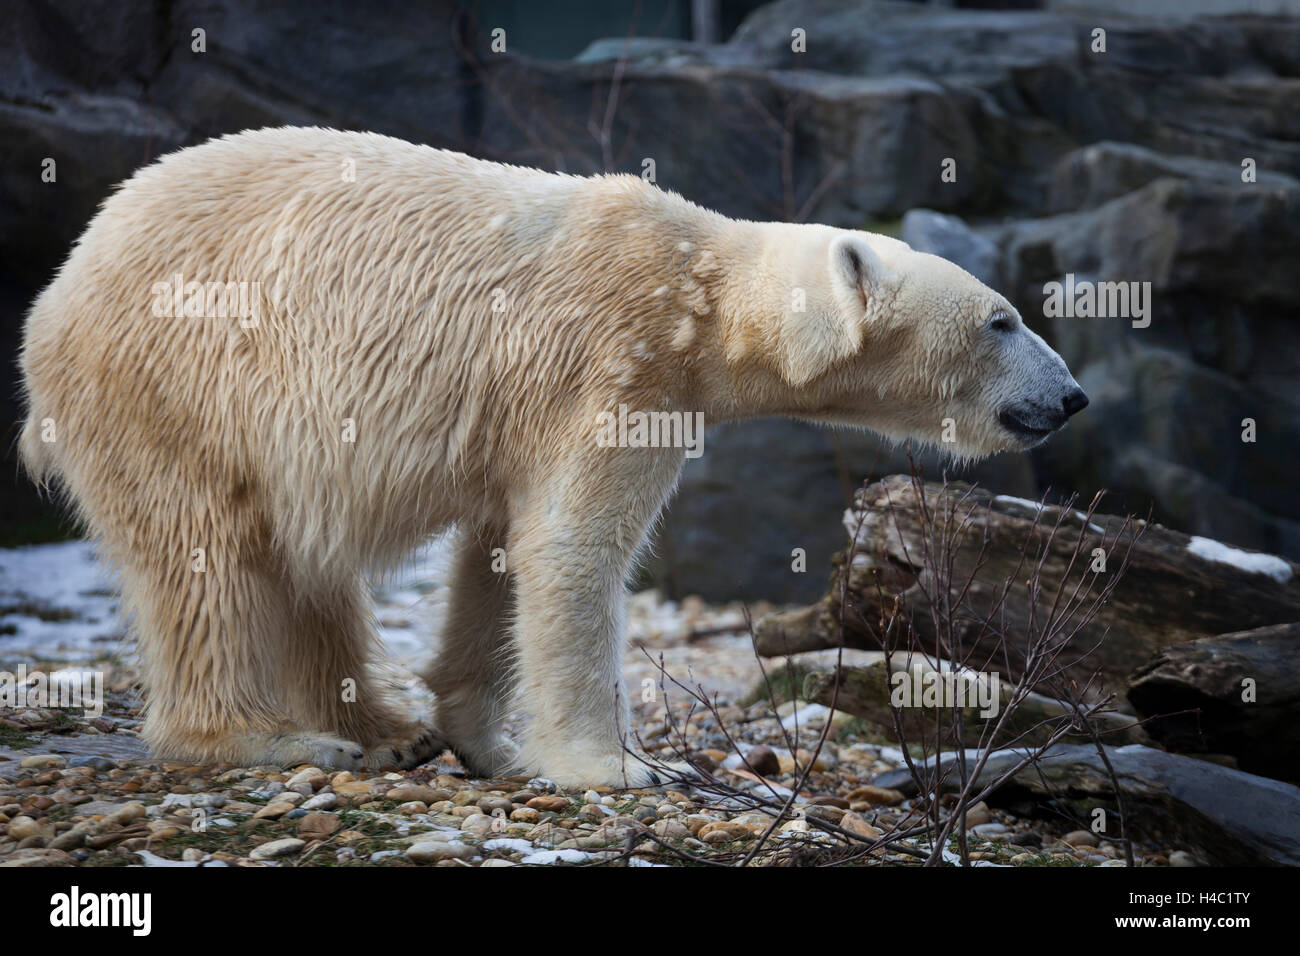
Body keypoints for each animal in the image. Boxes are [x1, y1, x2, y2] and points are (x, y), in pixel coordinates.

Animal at [19, 127, 1087, 787]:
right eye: (1002, 319)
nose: (1071, 397)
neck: (696, 289)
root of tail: (57, 294)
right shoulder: (613, 363)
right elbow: (574, 551)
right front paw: (617, 763)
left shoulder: (545, 406)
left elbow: (499, 551)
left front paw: (478, 738)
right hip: (172, 384)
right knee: (207, 555)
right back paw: (265, 741)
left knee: (304, 567)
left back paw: (387, 732)